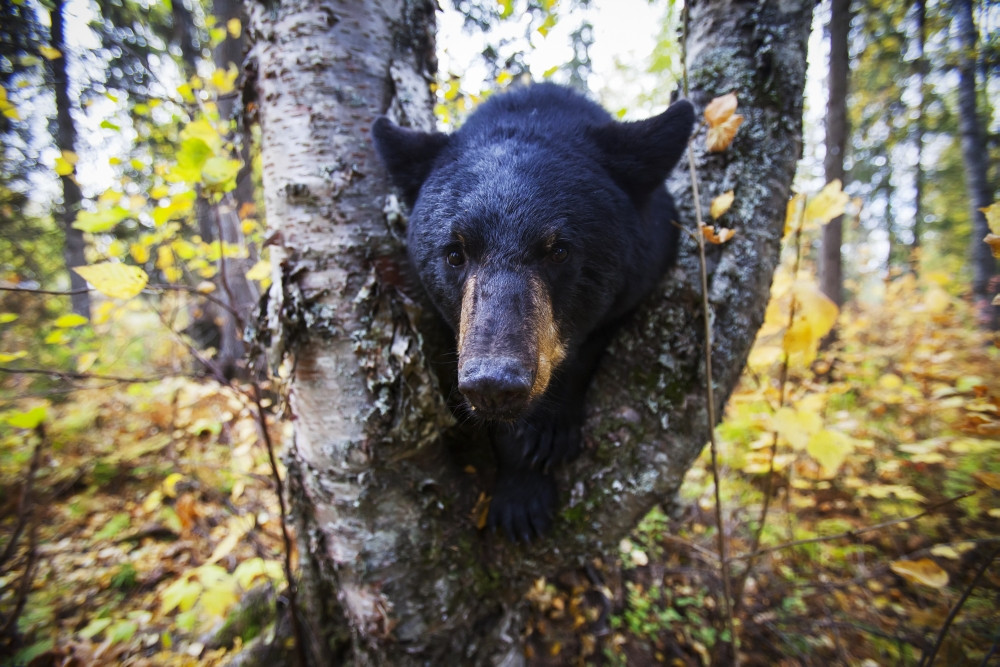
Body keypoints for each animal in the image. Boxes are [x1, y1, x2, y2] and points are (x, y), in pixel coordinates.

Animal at [372, 83, 695, 541]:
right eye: (454, 253)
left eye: (558, 250)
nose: (493, 383)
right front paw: (521, 496)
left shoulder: (645, 267)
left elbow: (584, 348)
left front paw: (549, 431)